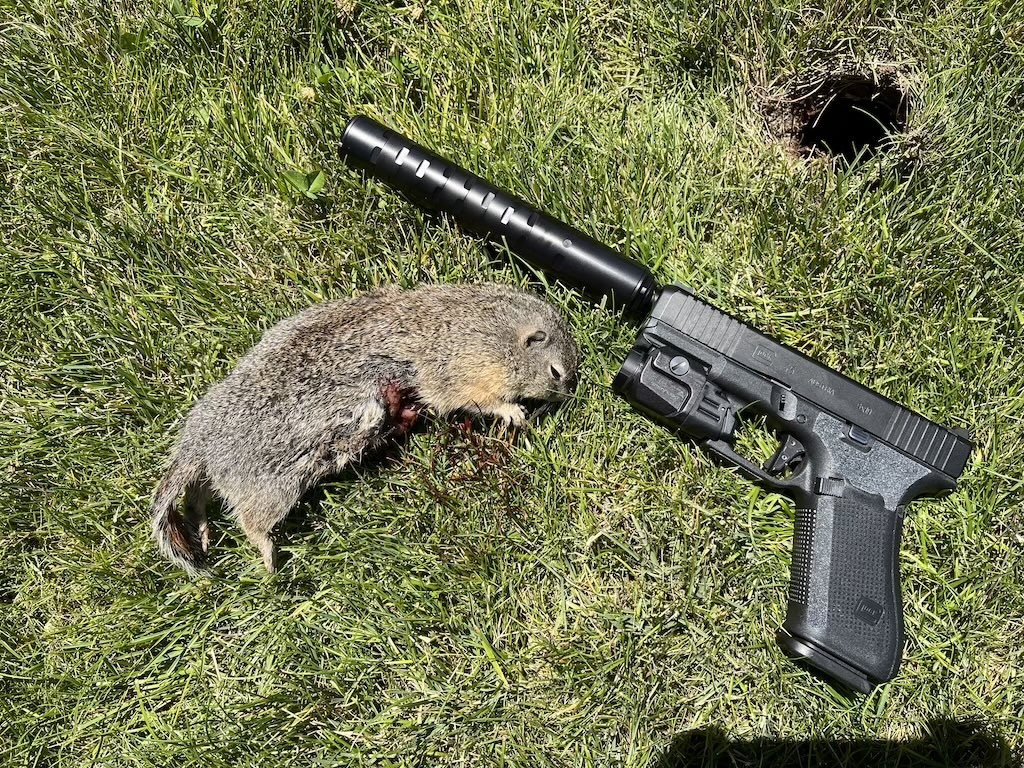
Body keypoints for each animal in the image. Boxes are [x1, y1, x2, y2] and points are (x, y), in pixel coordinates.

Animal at [151, 282, 578, 573]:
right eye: (556, 372)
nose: (568, 397)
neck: (487, 328)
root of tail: (198, 441)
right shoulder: (460, 367)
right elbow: (469, 398)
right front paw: (512, 411)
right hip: (270, 487)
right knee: (250, 520)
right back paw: (268, 557)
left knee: (199, 497)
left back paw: (202, 527)